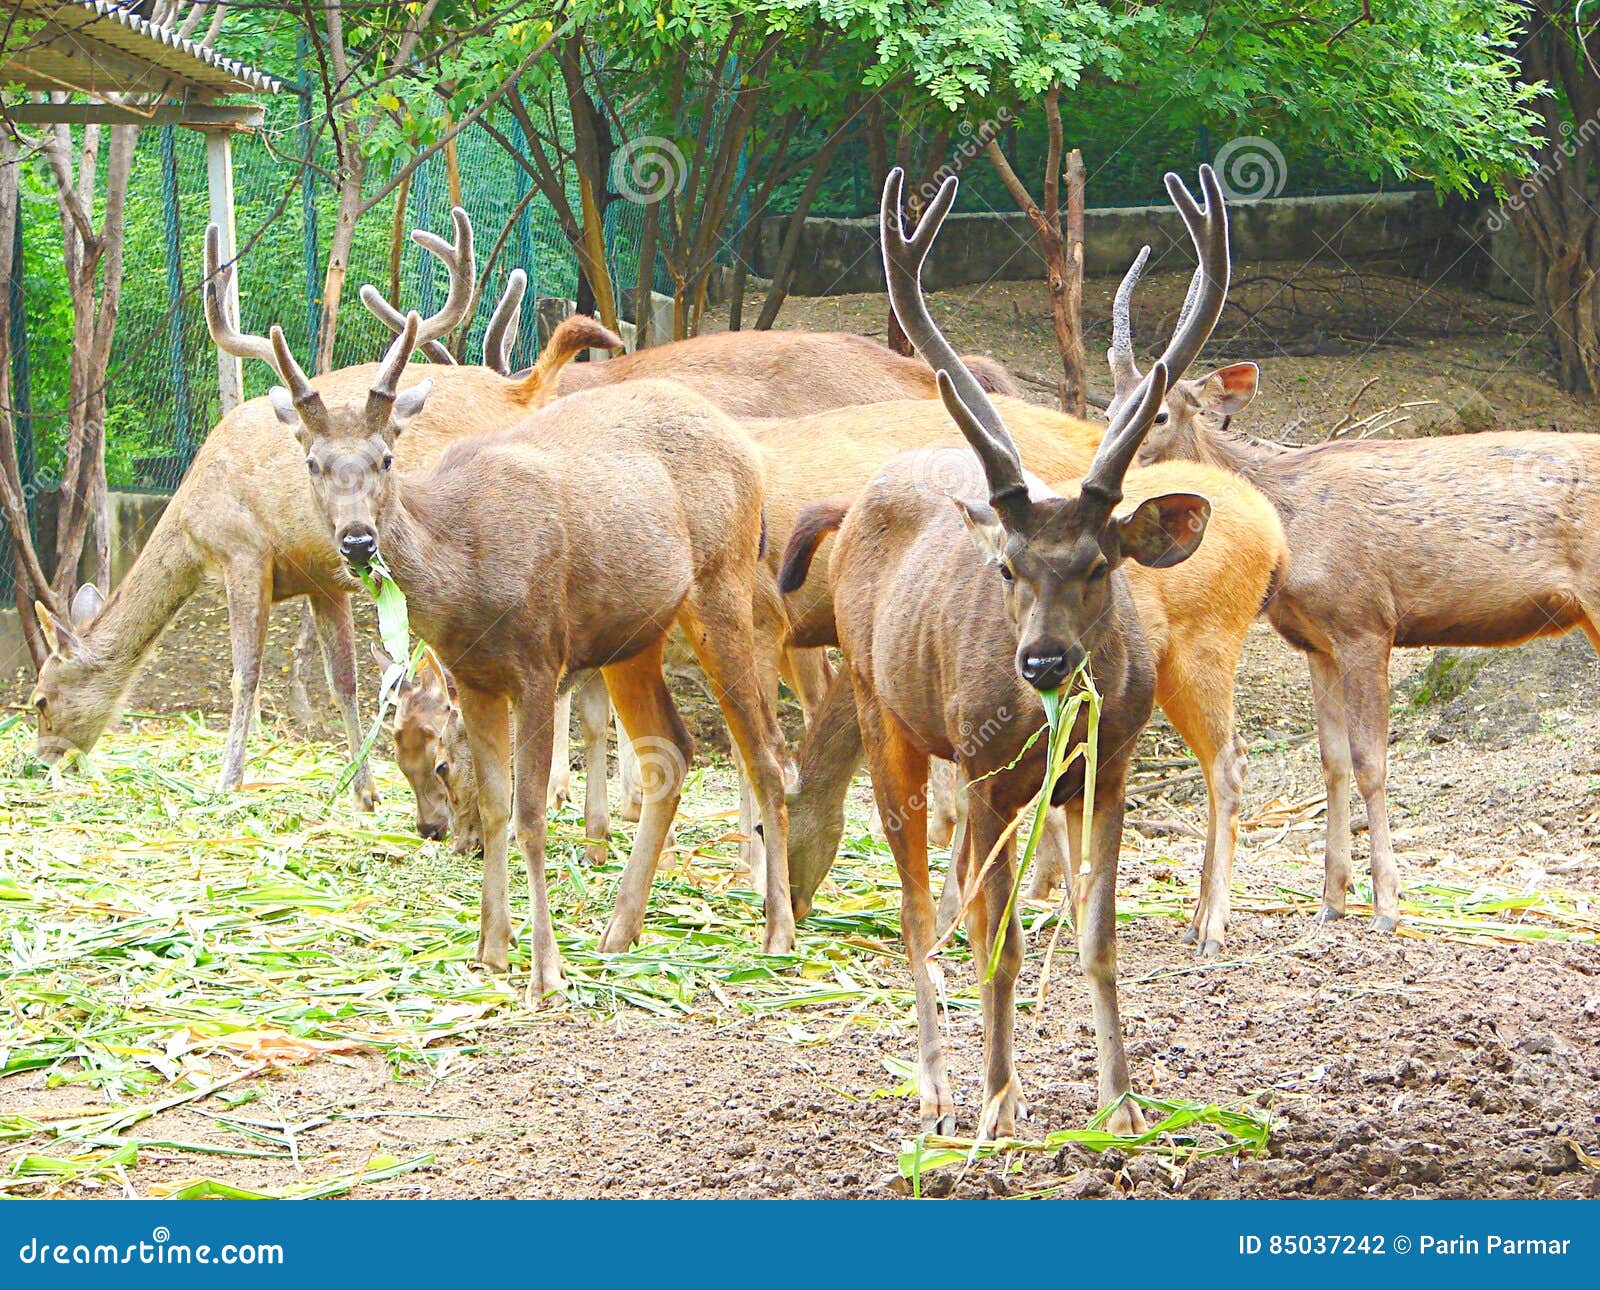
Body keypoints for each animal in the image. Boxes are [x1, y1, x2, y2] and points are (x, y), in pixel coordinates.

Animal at [252, 303, 796, 998]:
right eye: (313, 463)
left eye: (386, 457)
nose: (357, 539)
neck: (463, 573)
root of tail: (748, 451)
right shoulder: (477, 678)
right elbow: (493, 806)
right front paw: (490, 949)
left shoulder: (539, 660)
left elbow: (531, 812)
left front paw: (544, 969)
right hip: (634, 637)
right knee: (673, 750)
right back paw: (620, 931)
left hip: (723, 587)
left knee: (767, 752)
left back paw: (778, 931)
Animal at [772, 166, 1229, 1138]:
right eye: (1009, 568)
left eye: (1099, 563)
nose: (1044, 665)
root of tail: (861, 496)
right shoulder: (984, 774)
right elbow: (1004, 940)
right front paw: (998, 1108)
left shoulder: (1108, 769)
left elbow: (1096, 934)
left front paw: (1121, 1105)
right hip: (884, 712)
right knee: (914, 904)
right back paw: (940, 1090)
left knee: (951, 896)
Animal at [1111, 256, 1600, 934]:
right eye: (1109, 405)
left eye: (1159, 415)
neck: (1289, 539)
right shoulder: (1316, 641)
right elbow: (1334, 762)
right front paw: (1331, 899)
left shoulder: (1366, 621)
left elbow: (1373, 762)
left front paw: (1388, 906)